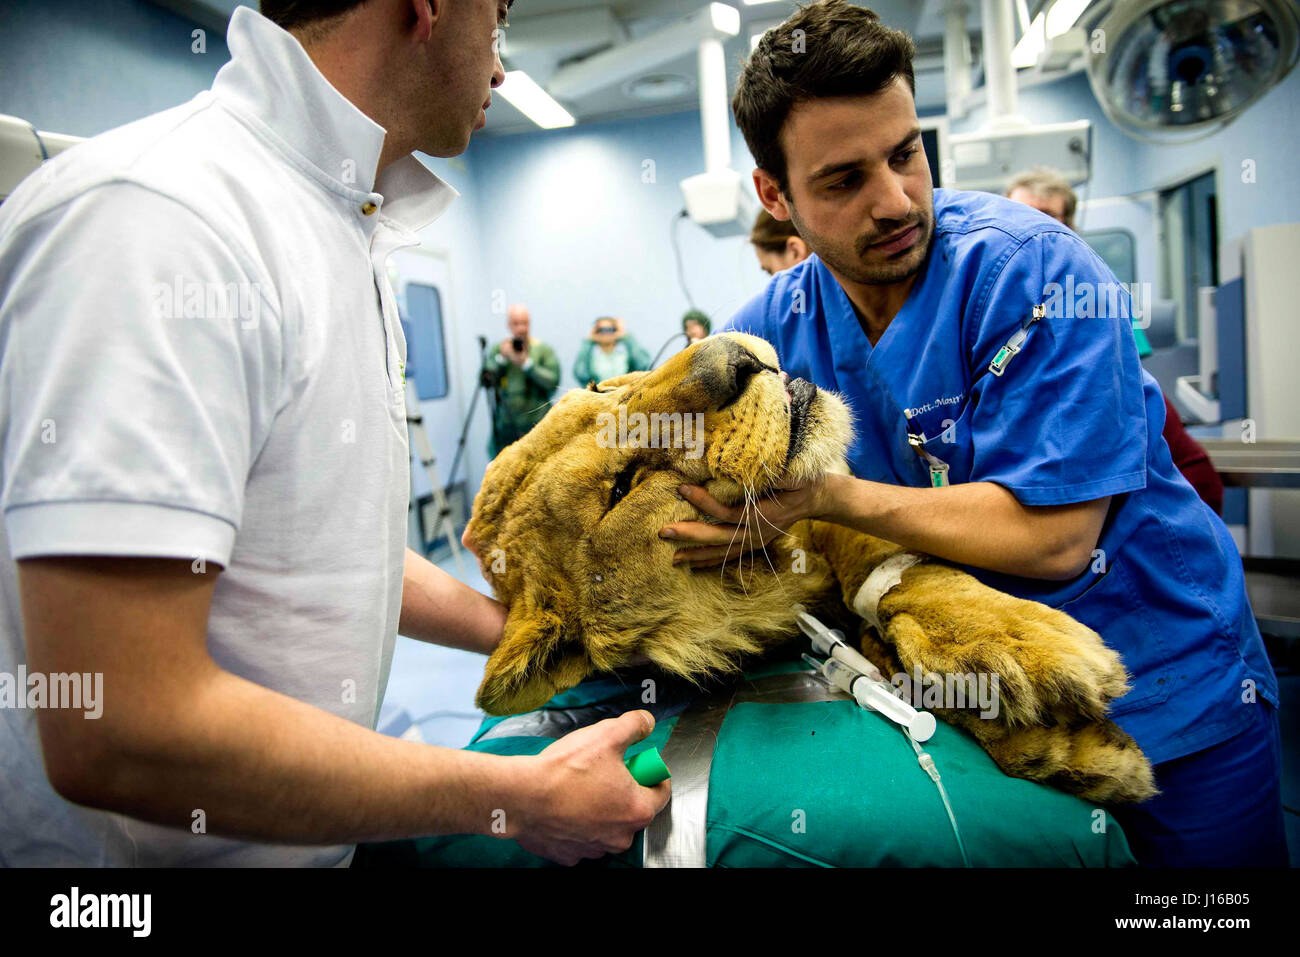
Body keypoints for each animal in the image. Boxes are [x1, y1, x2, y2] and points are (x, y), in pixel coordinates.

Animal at [463, 332, 1157, 804]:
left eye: (606, 389)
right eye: (622, 488)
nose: (731, 357)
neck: (743, 581)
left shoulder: (821, 514)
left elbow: (877, 553)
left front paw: (1017, 647)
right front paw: (1068, 742)